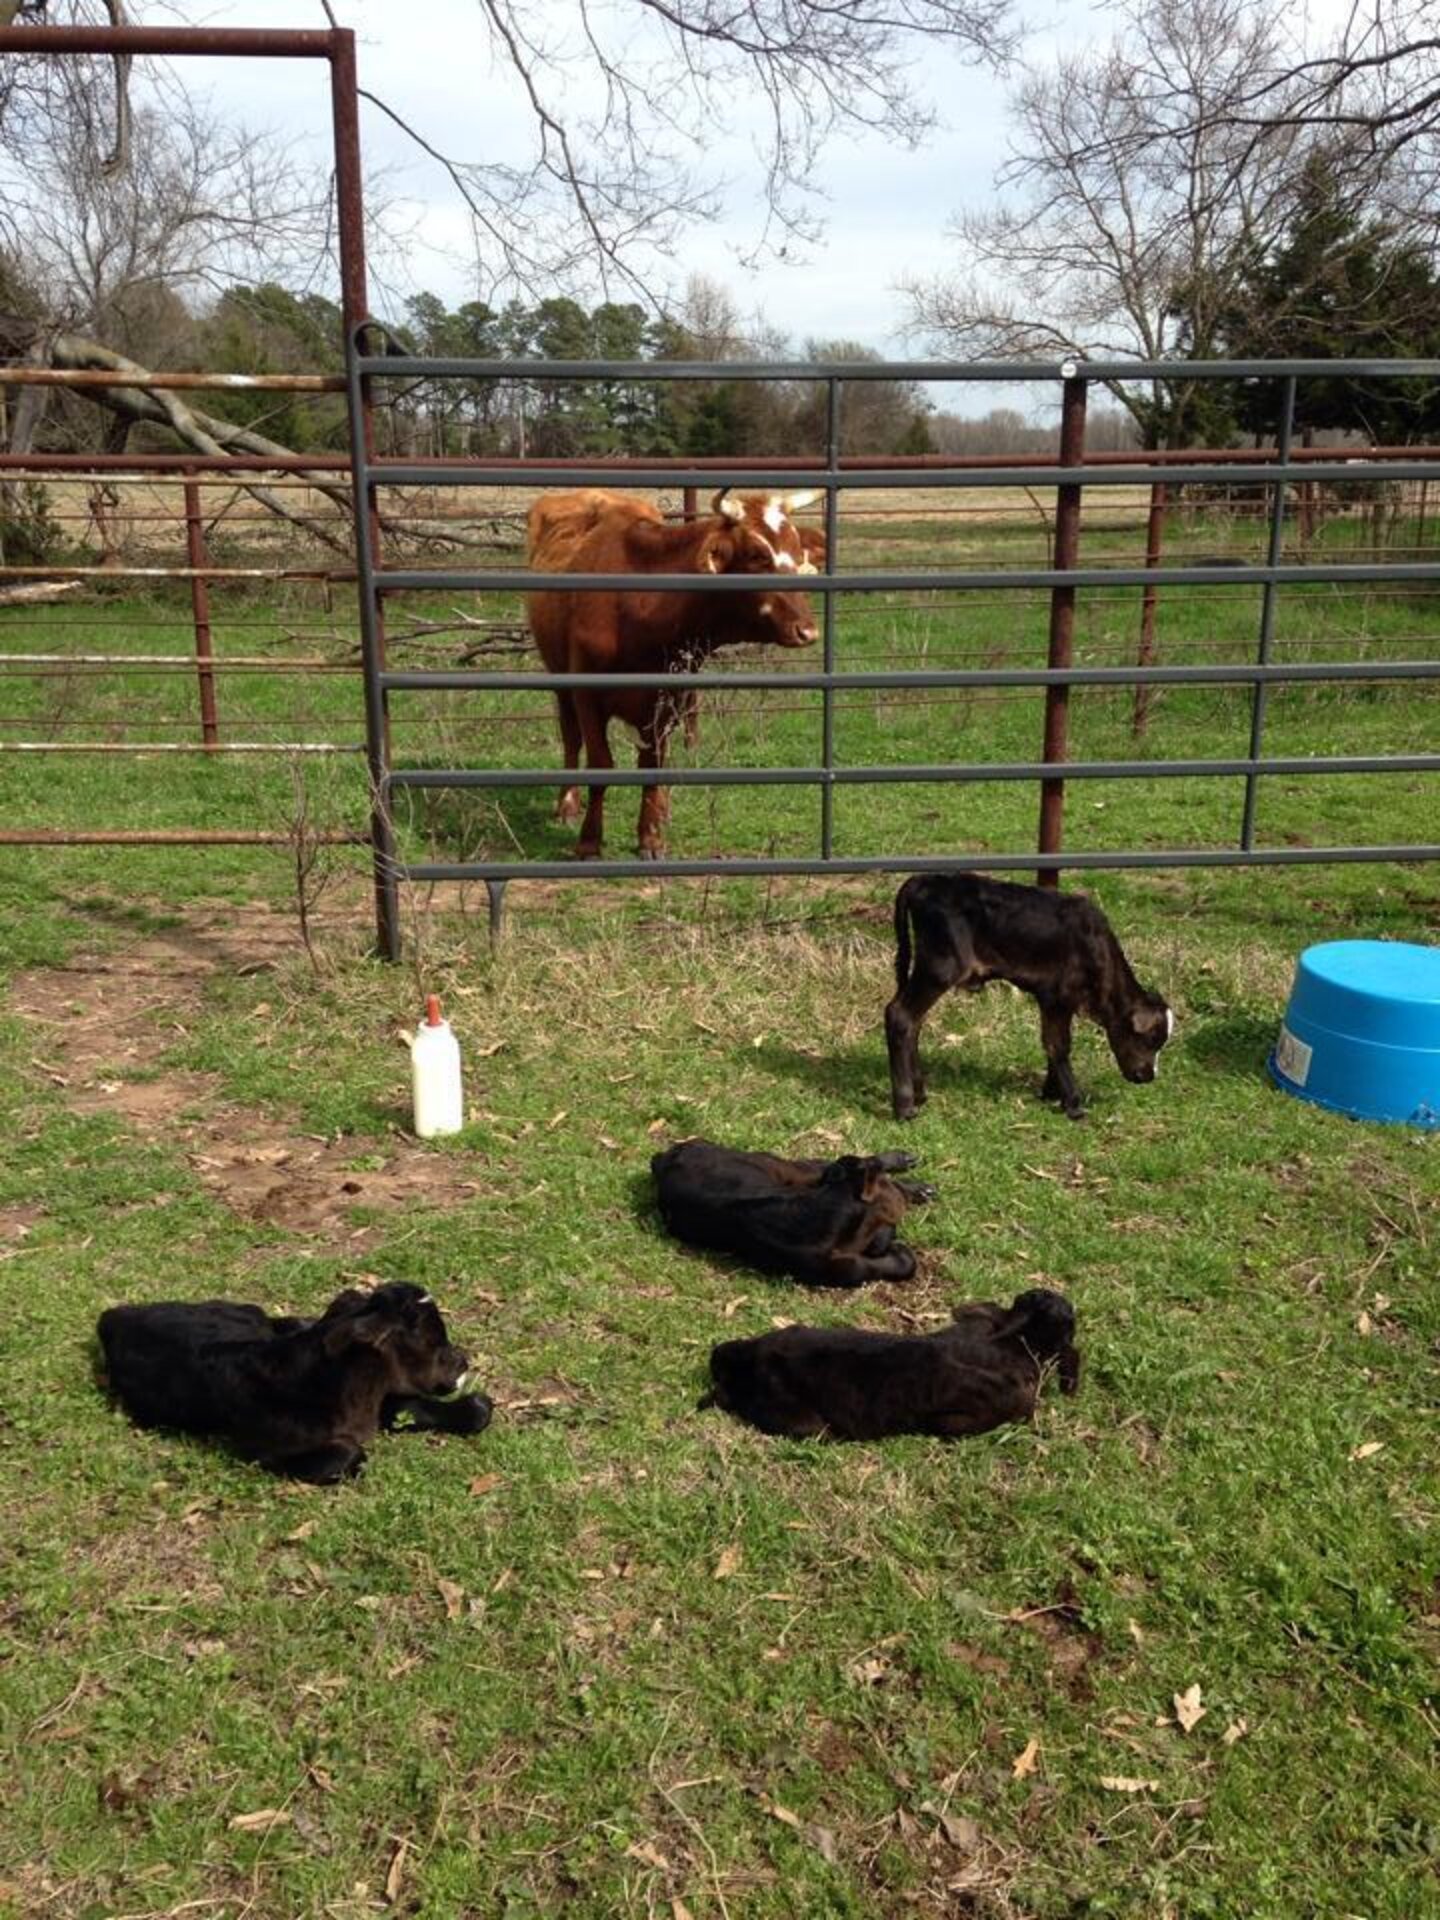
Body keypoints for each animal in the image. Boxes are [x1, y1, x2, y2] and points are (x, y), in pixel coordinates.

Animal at [96, 1282, 492, 1484]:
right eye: (429, 1338)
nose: (464, 1362)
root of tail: (114, 1315)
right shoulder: (263, 1454)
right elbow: (352, 1453)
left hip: (251, 1313)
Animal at [526, 487, 825, 857]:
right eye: (757, 555)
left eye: (798, 552)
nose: (807, 631)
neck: (639, 609)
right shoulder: (586, 694)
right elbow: (599, 763)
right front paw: (589, 840)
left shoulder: (668, 698)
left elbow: (653, 765)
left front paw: (651, 836)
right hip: (561, 683)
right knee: (571, 739)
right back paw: (567, 803)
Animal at [885, 873, 1173, 1121]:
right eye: (1151, 1039)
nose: (1149, 1076)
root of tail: (926, 880)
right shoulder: (1057, 997)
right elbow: (1059, 1045)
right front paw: (1072, 1103)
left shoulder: (1052, 1001)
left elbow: (1051, 1045)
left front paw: (1051, 1093)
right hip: (940, 968)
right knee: (900, 1016)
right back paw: (905, 1106)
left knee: (914, 1022)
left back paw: (920, 1093)